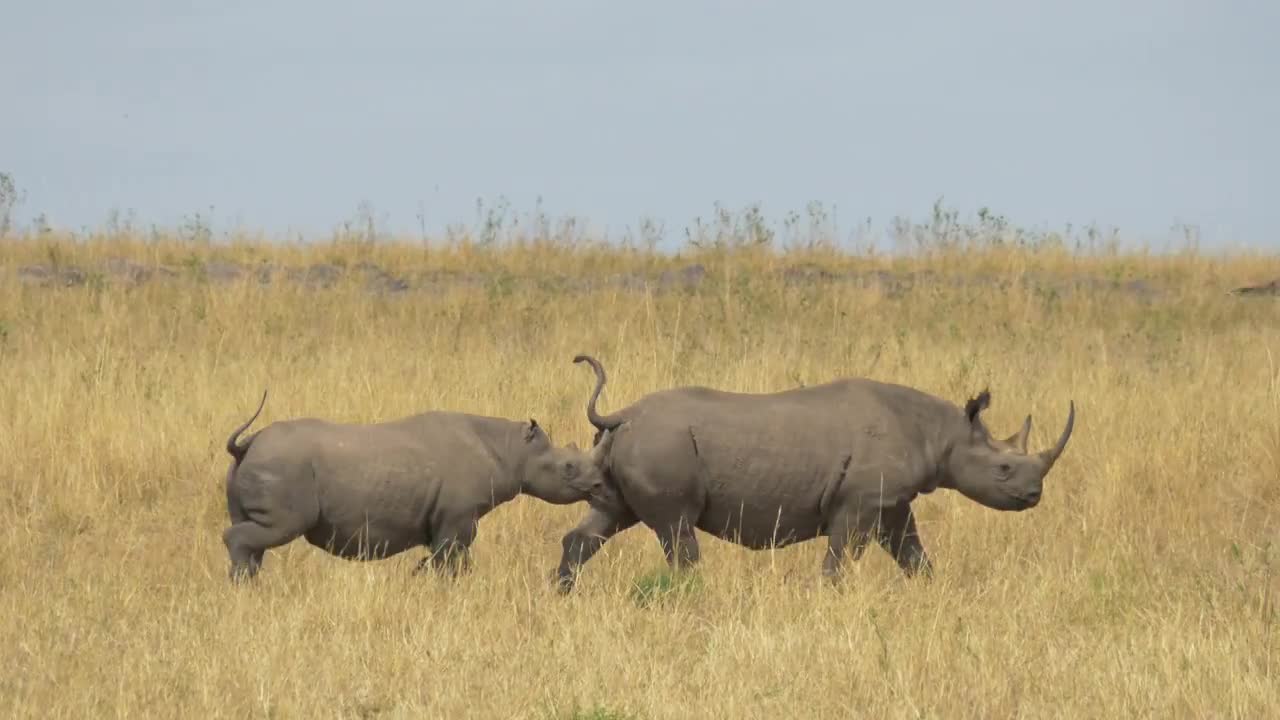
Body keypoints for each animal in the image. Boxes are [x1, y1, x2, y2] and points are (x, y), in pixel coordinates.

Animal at [221, 390, 614, 582]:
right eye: (567, 467)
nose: (598, 483)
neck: (511, 450)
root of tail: (246, 446)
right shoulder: (458, 517)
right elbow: (451, 560)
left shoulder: (448, 520)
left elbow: (447, 559)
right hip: (284, 468)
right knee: (276, 528)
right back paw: (244, 586)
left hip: (260, 468)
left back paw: (251, 582)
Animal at [554, 355, 1074, 591]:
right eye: (1004, 467)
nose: (1035, 495)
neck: (943, 434)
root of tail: (621, 415)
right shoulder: (859, 504)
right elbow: (840, 560)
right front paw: (829, 597)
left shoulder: (891, 503)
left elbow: (912, 554)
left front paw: (931, 590)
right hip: (662, 444)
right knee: (677, 531)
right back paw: (694, 595)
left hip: (627, 451)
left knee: (605, 519)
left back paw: (563, 594)